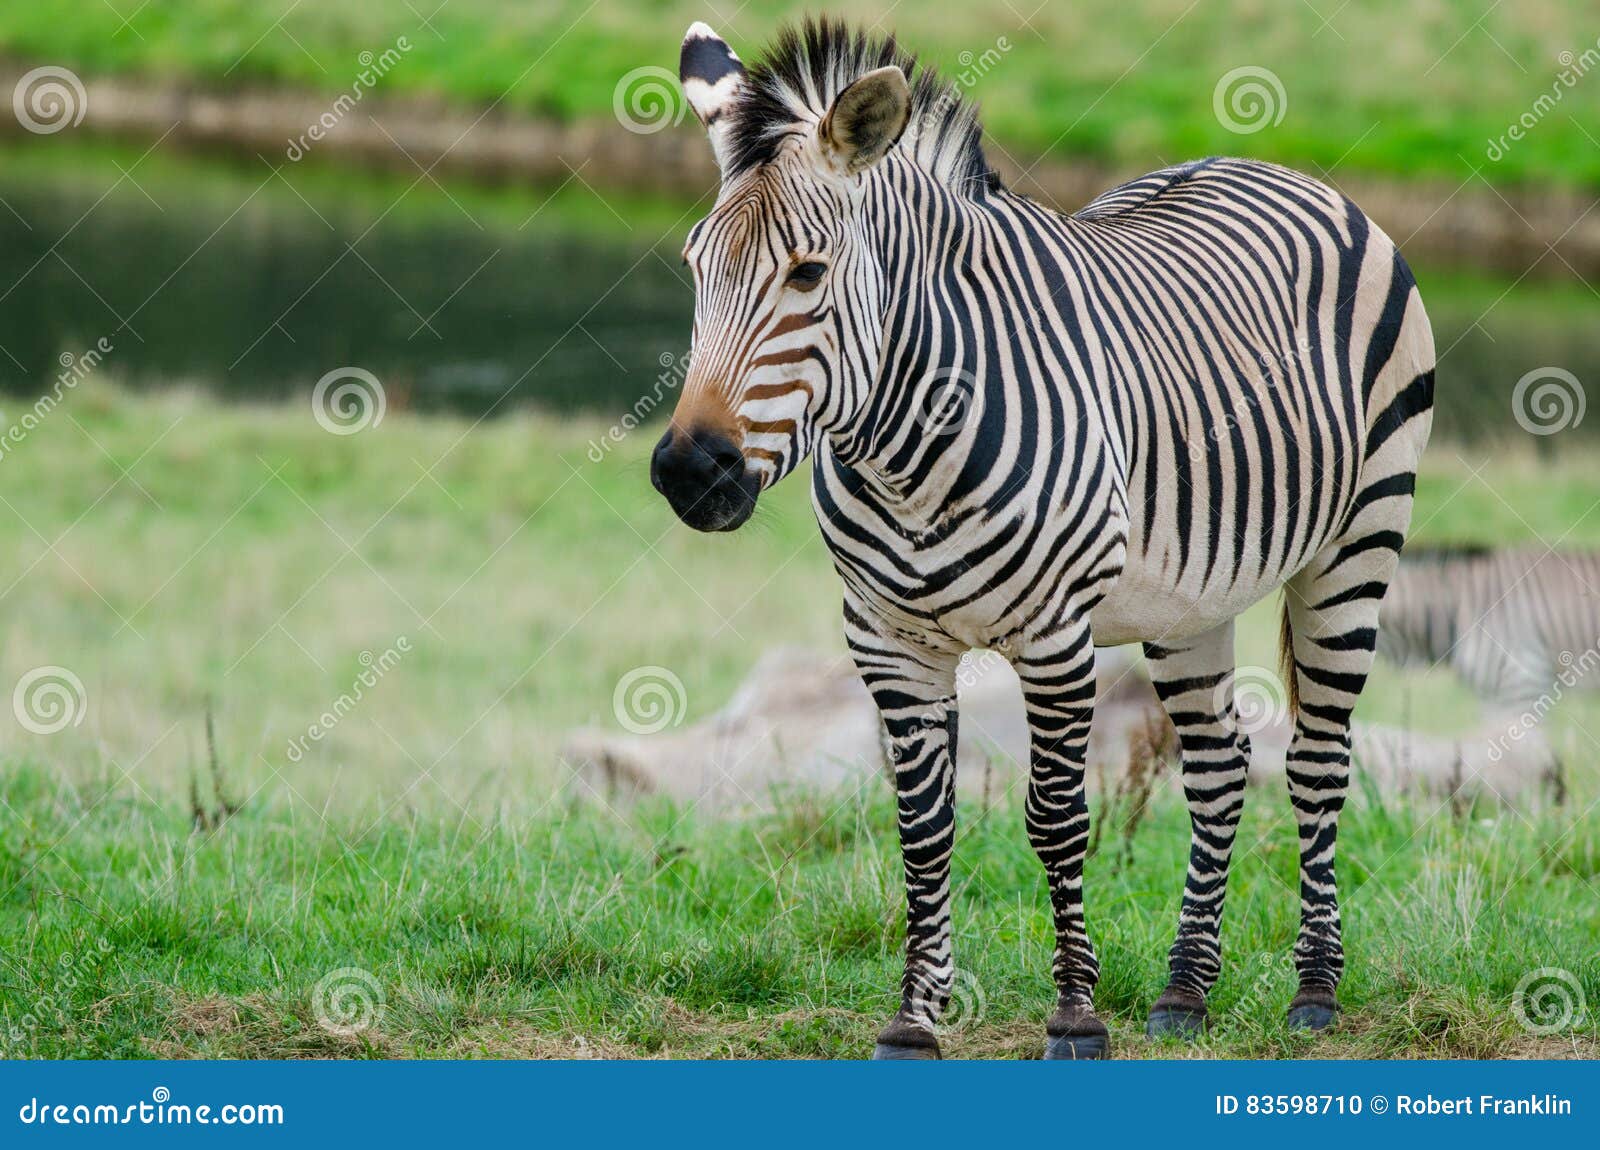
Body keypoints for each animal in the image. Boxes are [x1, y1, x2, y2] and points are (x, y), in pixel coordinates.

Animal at [653, 18, 1435, 1058]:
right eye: (696, 269)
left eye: (807, 274)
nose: (688, 471)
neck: (906, 454)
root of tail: (1286, 170)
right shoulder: (888, 644)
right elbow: (924, 827)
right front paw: (915, 1021)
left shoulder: (1057, 638)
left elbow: (1056, 819)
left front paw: (1074, 1018)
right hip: (1191, 594)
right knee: (1221, 762)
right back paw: (1186, 992)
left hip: (1360, 542)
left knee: (1316, 760)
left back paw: (1314, 990)